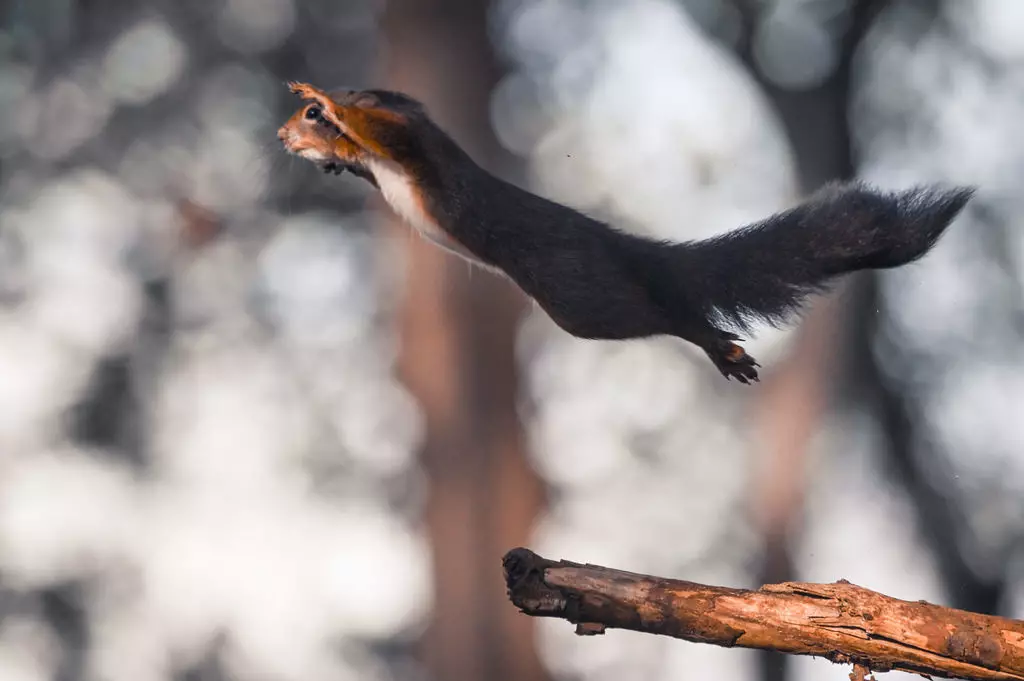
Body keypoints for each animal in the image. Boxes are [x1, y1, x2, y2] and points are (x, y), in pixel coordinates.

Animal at [278, 80, 974, 382]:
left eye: (309, 114)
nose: (282, 136)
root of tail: (619, 245)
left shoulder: (411, 145)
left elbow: (384, 130)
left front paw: (332, 105)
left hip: (583, 299)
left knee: (663, 313)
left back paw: (722, 349)